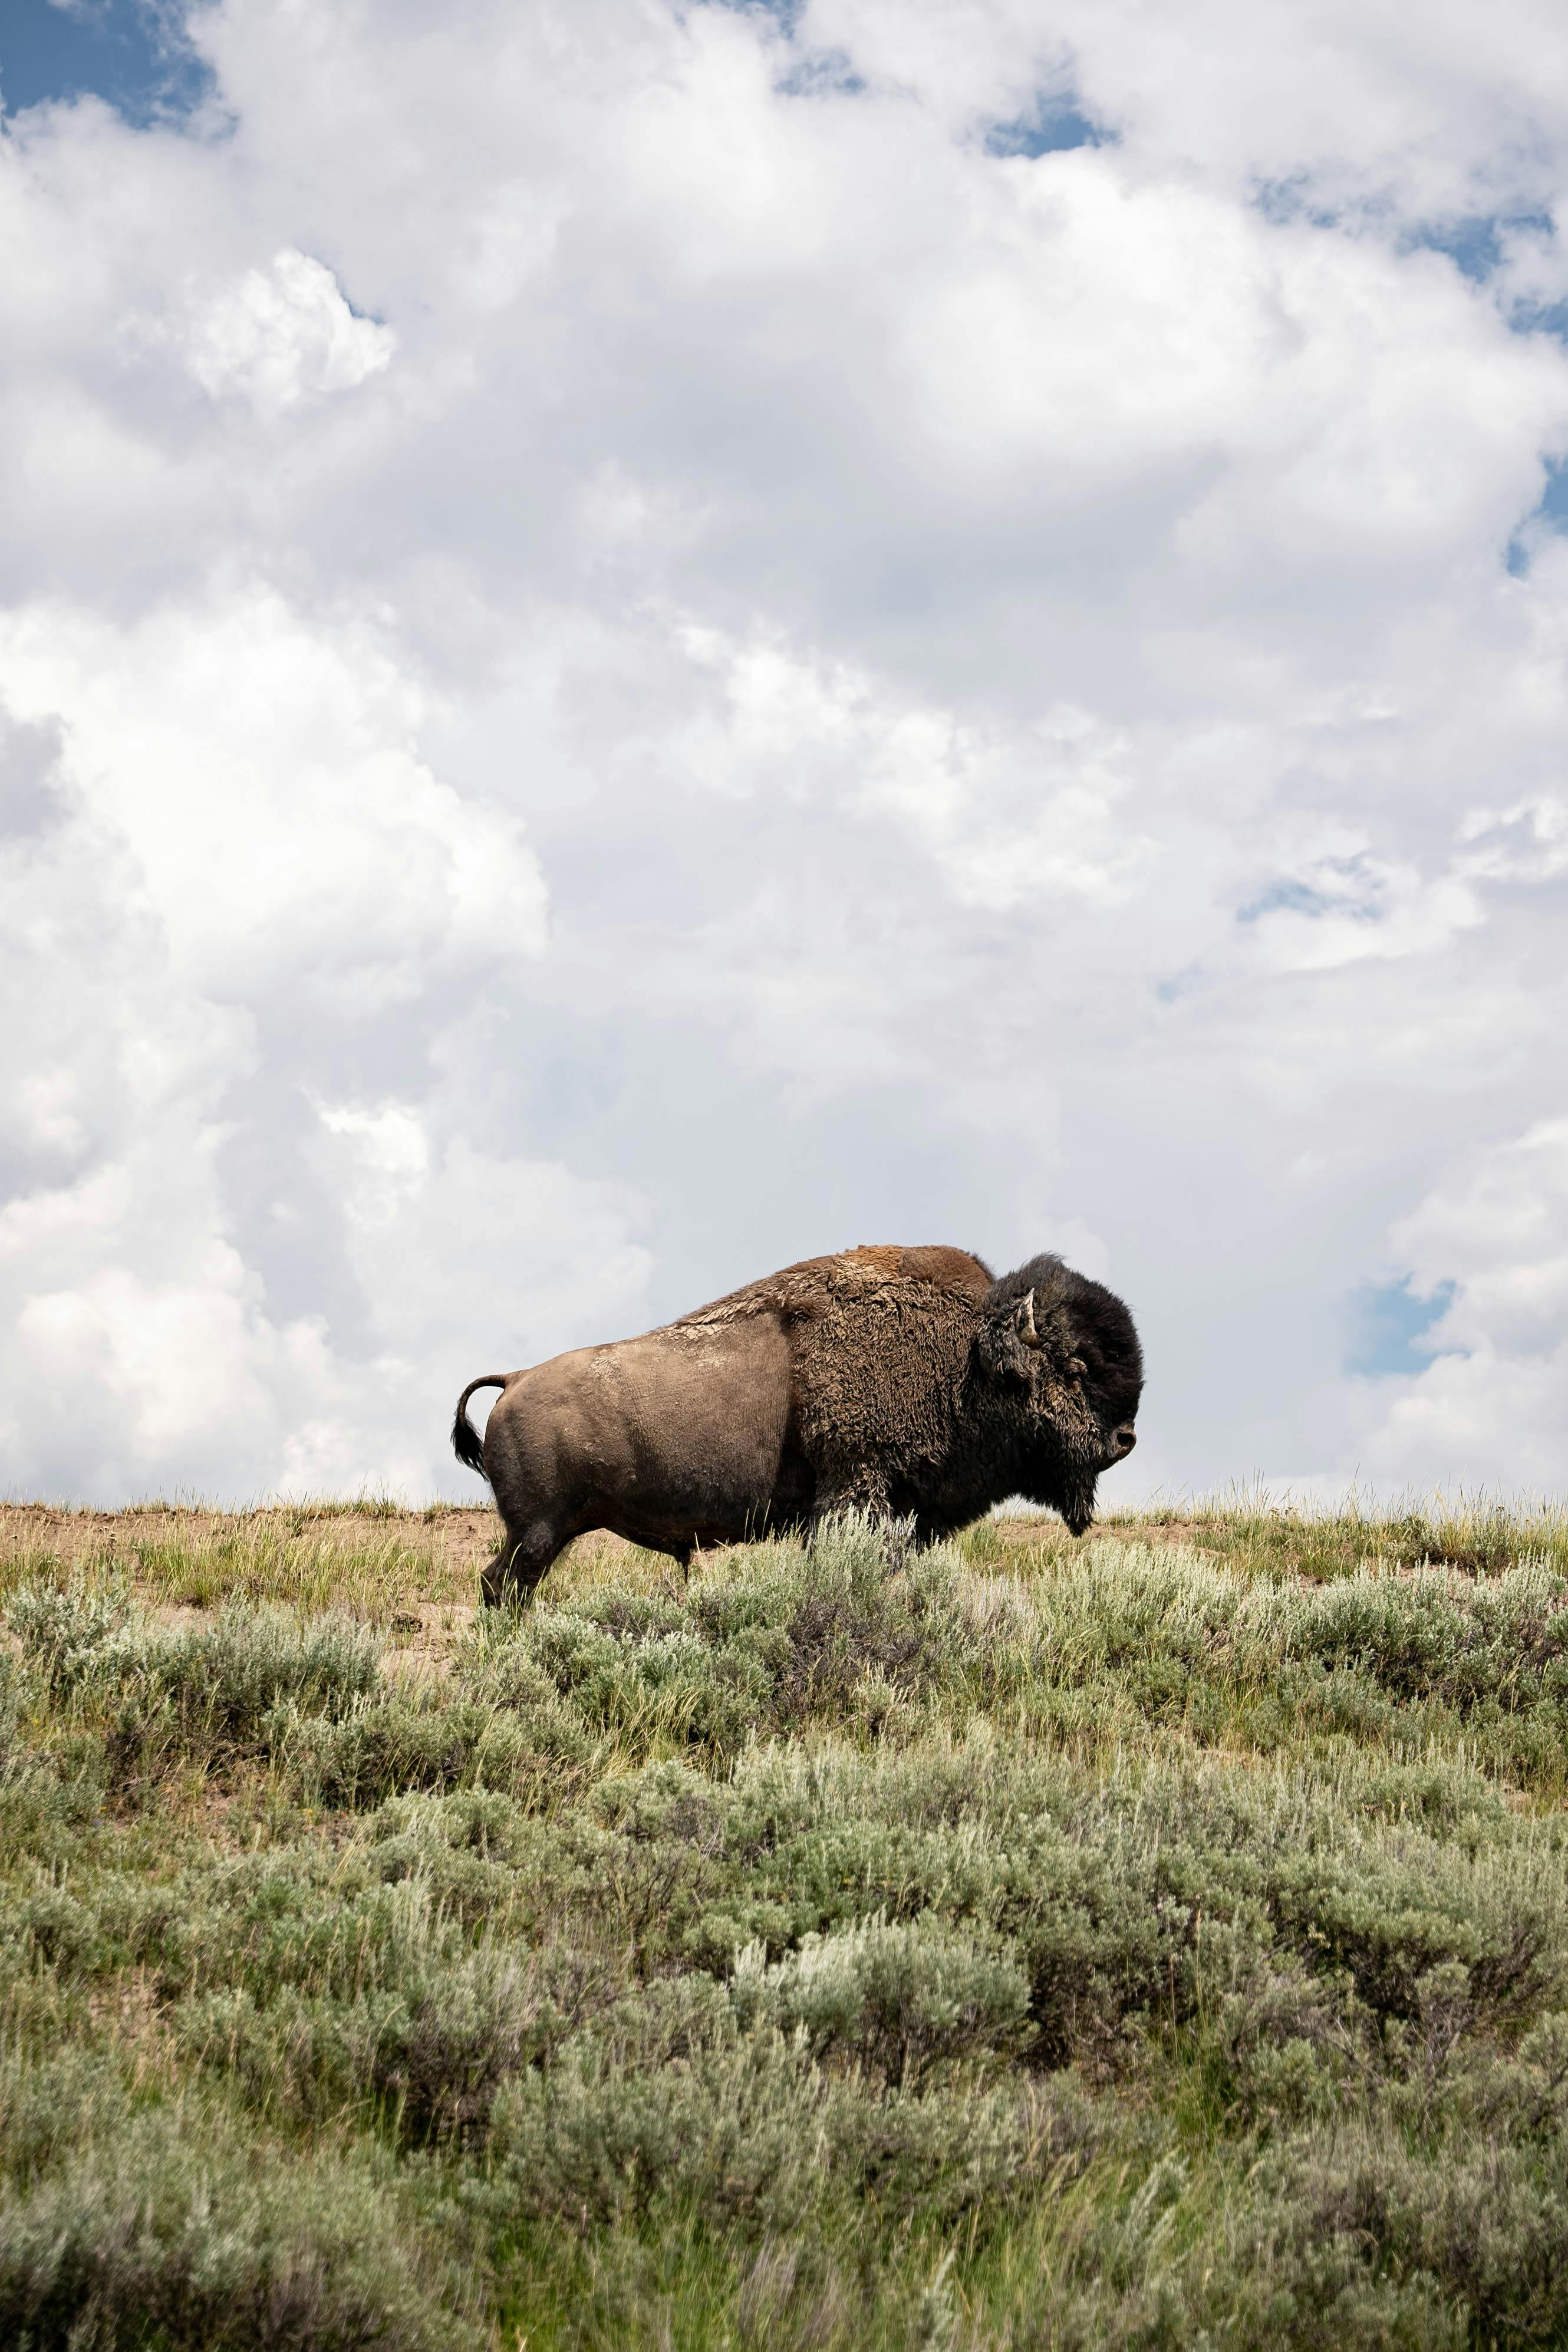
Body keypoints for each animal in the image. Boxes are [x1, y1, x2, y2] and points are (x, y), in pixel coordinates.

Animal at [452, 1242, 1142, 1603]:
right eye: (1076, 1367)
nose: (1124, 1439)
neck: (963, 1357)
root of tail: (516, 1379)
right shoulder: (857, 1485)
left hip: (540, 1531)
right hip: (540, 1531)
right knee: (504, 1584)